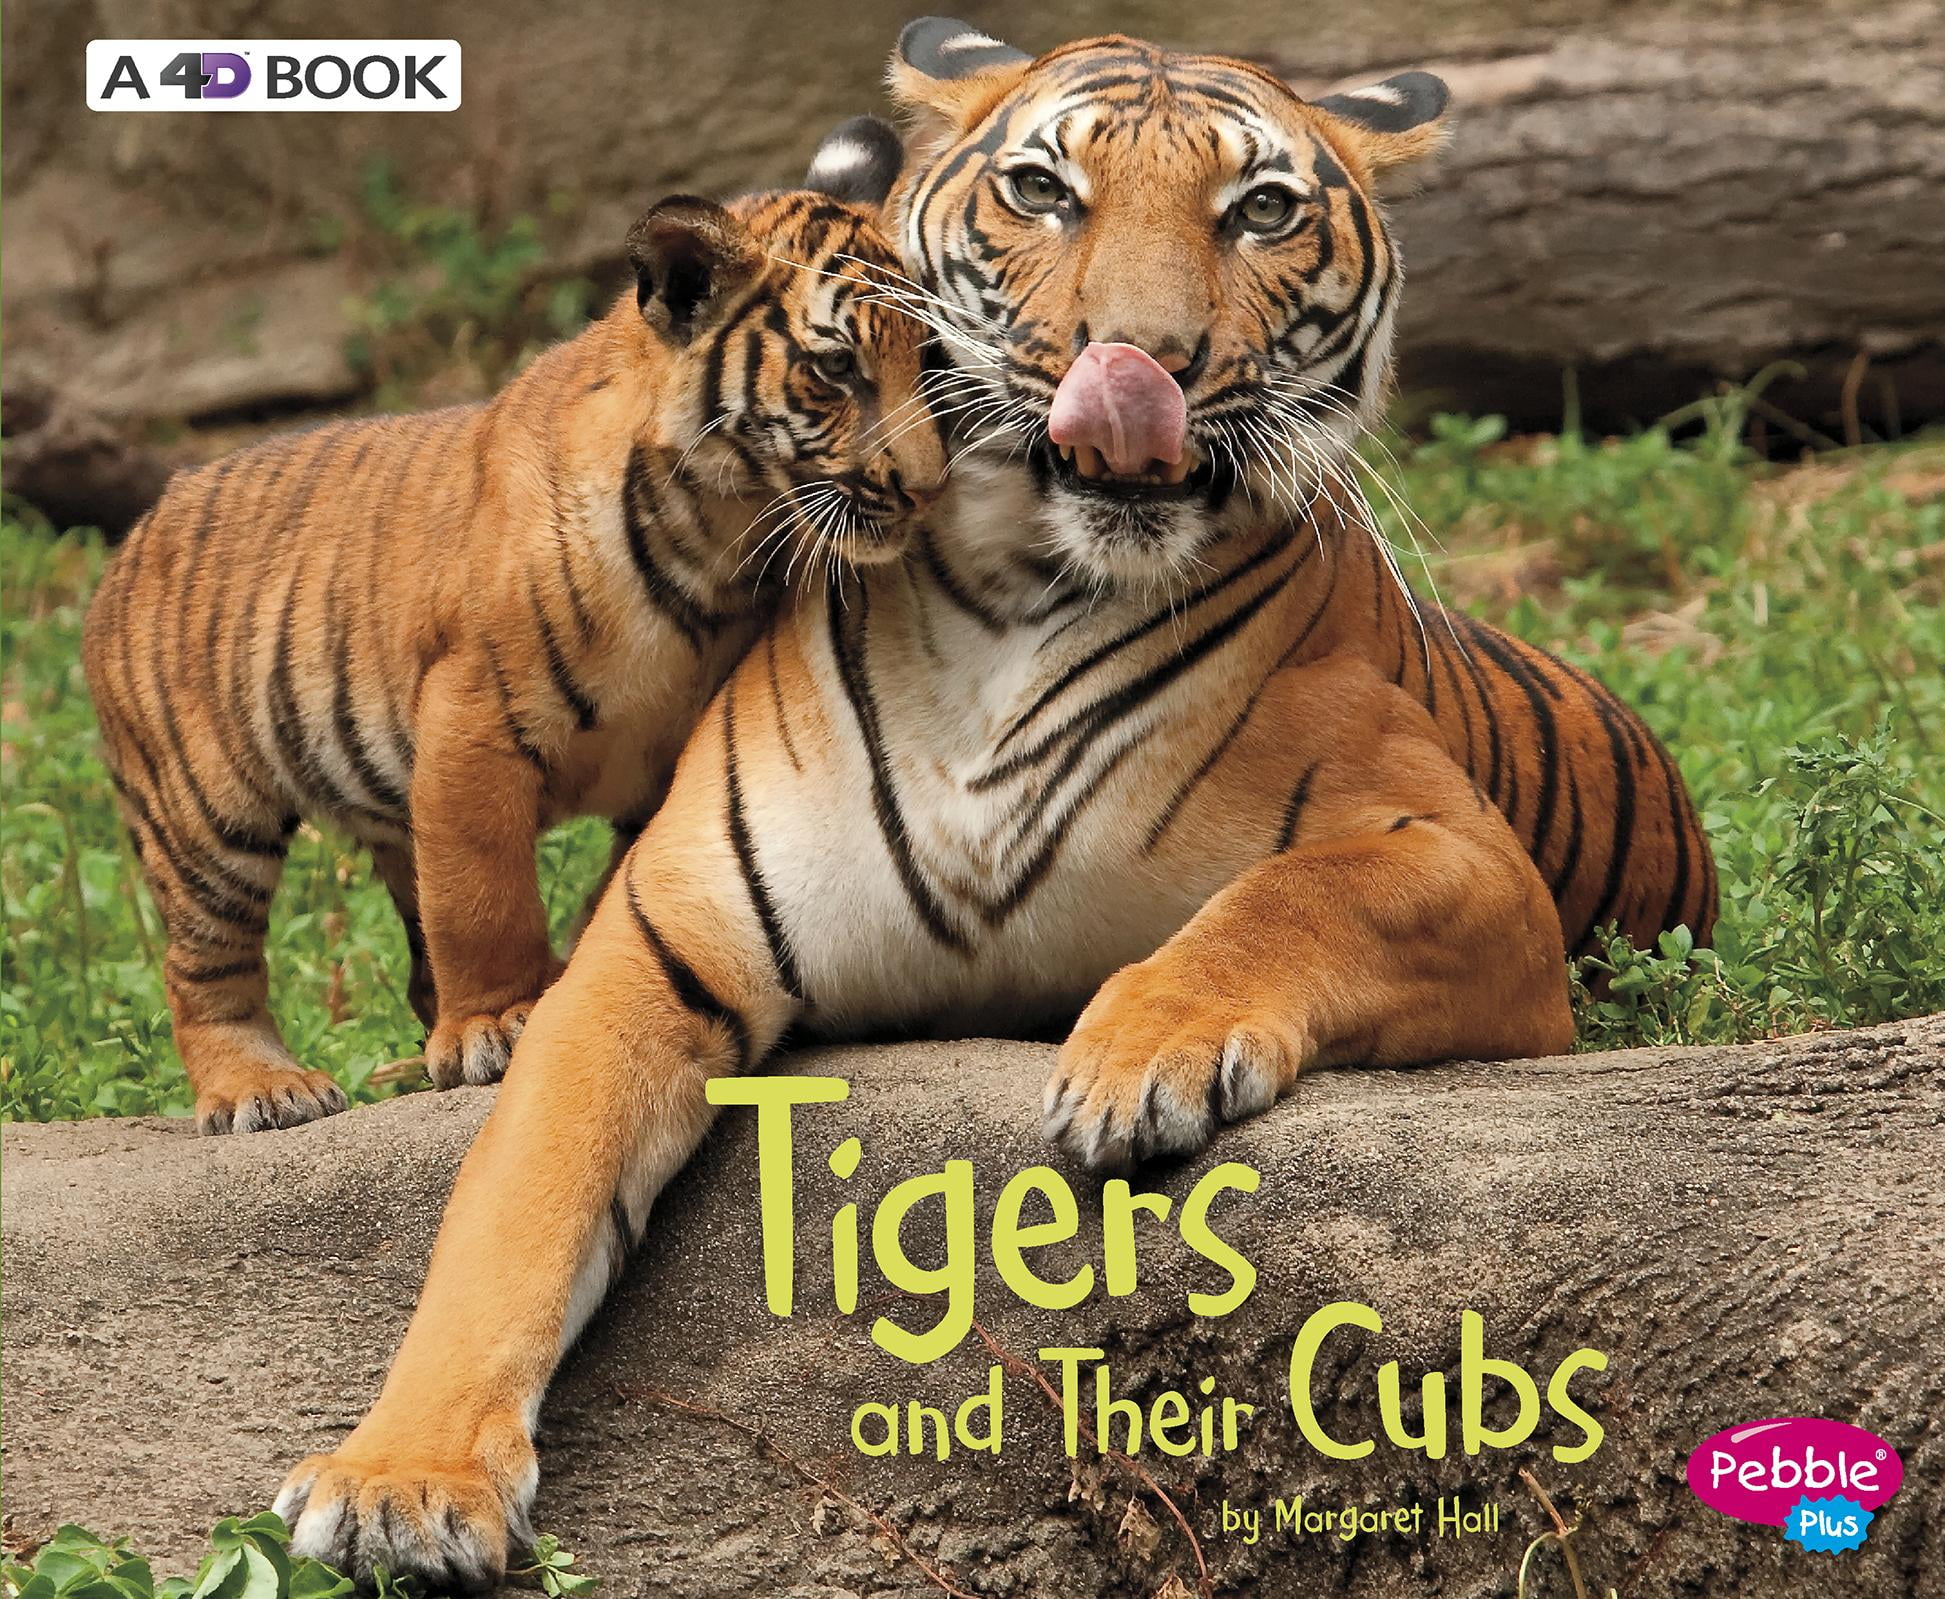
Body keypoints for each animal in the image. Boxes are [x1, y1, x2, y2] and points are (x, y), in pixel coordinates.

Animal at [81, 123, 943, 1135]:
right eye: (836, 368)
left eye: (931, 357)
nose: (928, 487)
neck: (723, 540)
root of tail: (141, 523)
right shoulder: (473, 722)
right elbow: (482, 899)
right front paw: (496, 1023)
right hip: (204, 815)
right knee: (204, 967)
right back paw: (264, 1087)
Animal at [275, 20, 1715, 1584]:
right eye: (1042, 189)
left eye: (1260, 210)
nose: (1140, 361)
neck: (1023, 598)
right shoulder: (657, 943)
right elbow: (518, 1201)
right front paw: (402, 1483)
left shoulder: (1464, 859)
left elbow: (1288, 893)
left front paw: (1137, 1054)